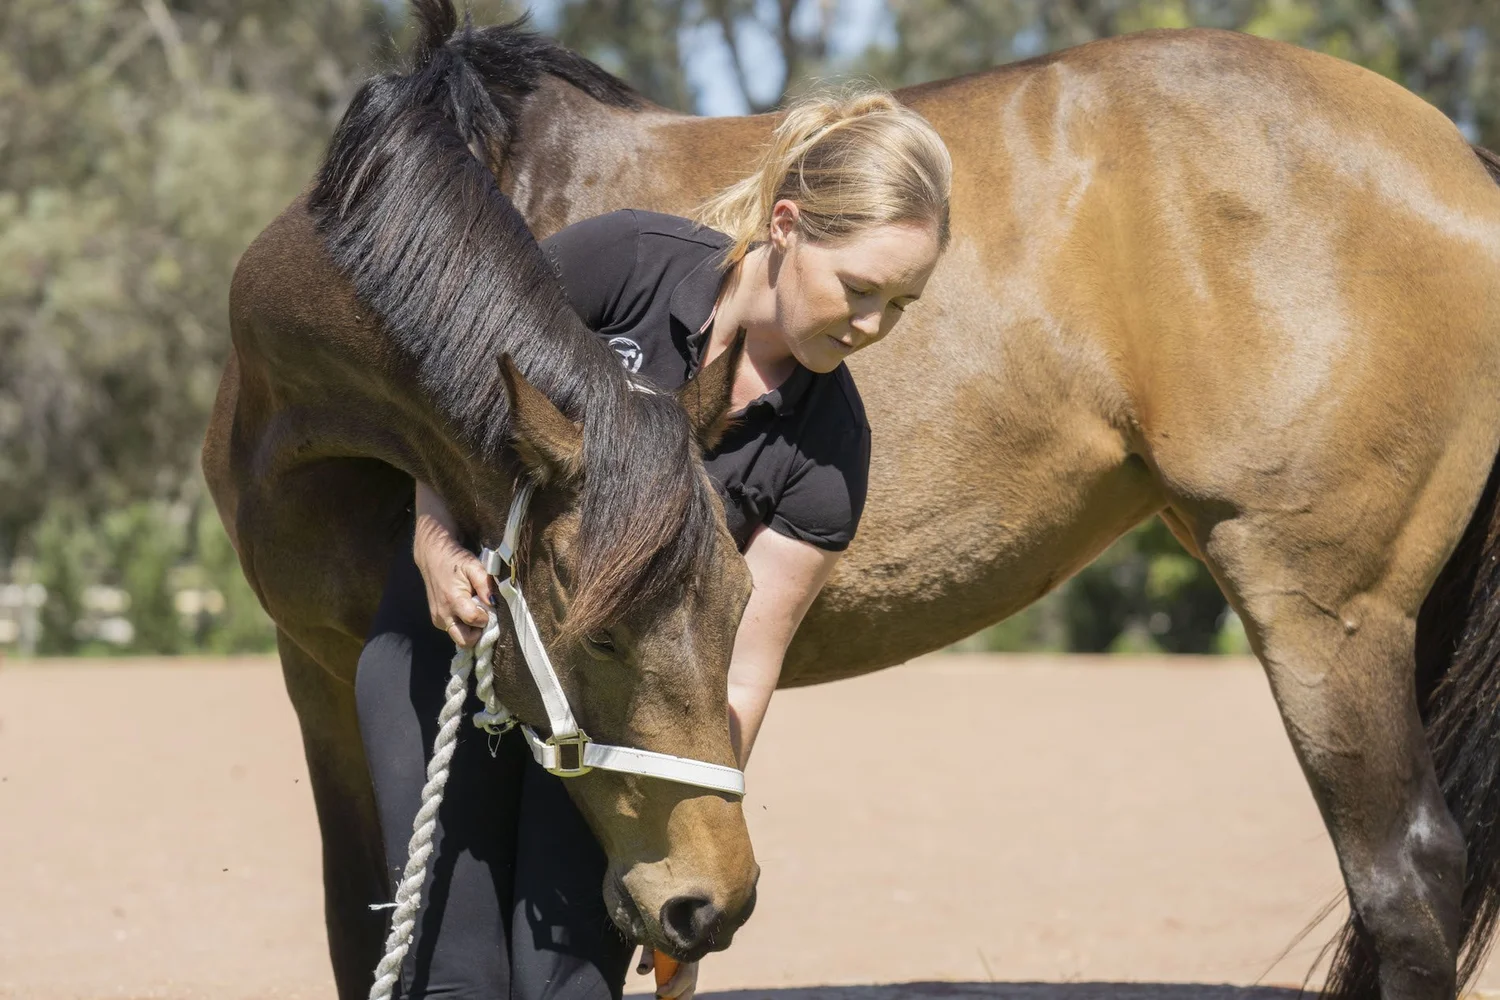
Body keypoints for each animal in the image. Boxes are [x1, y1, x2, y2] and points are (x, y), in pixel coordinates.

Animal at [208, 1, 1500, 997]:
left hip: (1324, 609)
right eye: (606, 637)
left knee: (1406, 884)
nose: (711, 902)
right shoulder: (326, 668)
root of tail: (1462, 164)